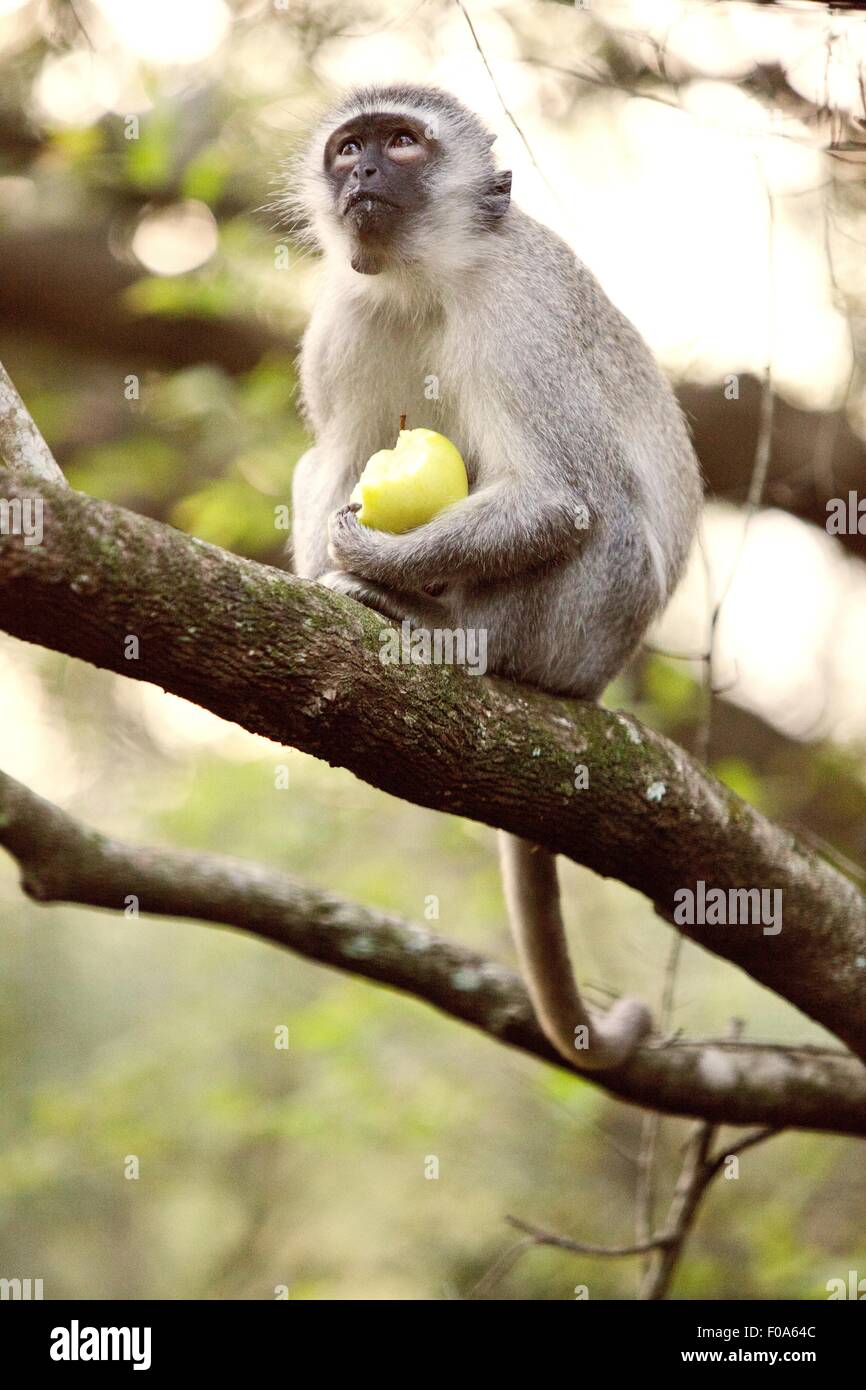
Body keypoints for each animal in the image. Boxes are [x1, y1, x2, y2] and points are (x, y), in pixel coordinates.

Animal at [283, 85, 702, 1071]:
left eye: (403, 142)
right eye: (349, 147)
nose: (363, 170)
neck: (424, 279)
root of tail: (592, 681)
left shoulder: (523, 315)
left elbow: (564, 499)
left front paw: (382, 565)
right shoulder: (342, 324)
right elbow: (336, 461)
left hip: (581, 635)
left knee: (604, 517)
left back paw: (446, 633)